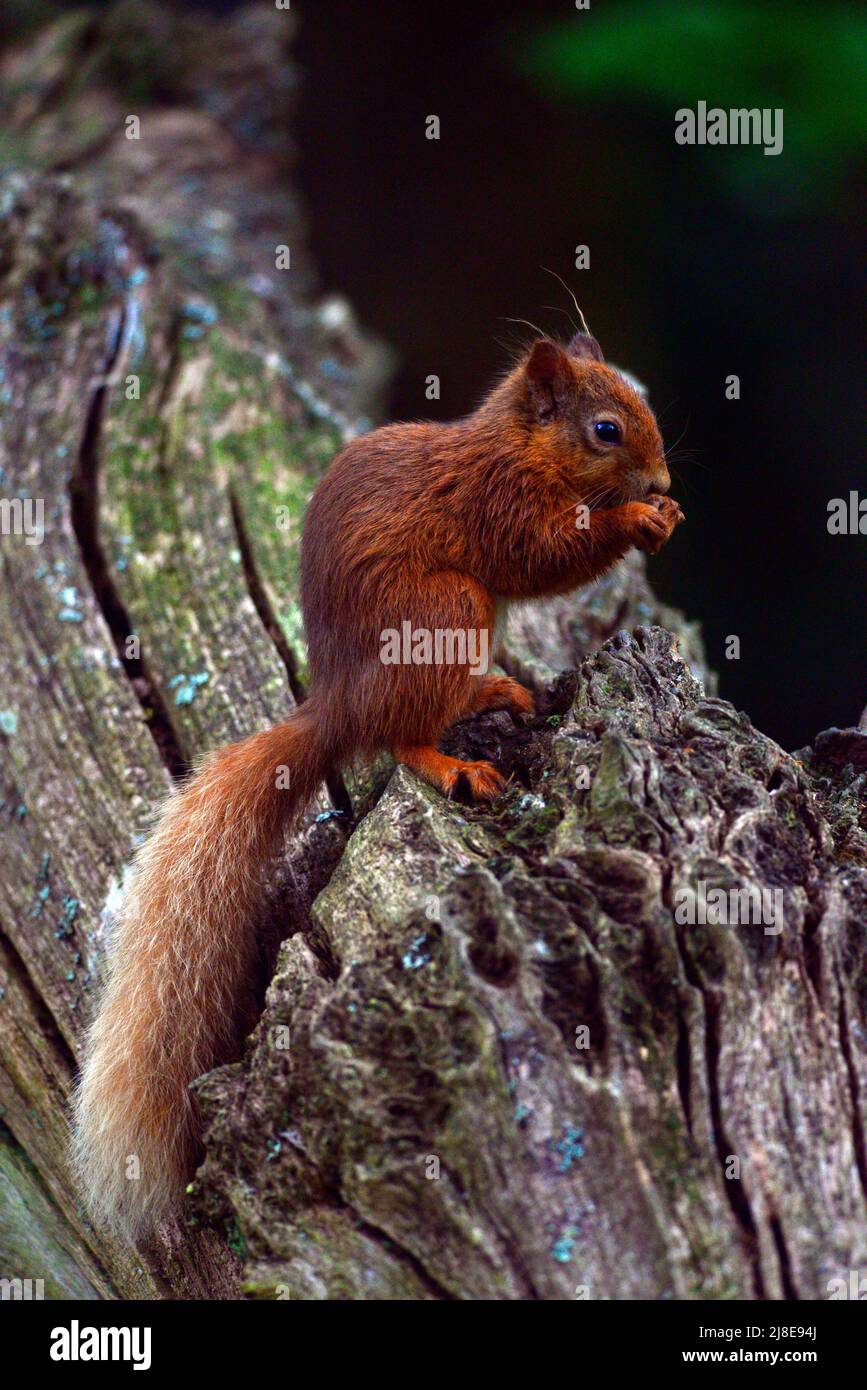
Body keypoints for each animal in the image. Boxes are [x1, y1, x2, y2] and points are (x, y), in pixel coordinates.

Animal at [72, 329, 684, 1237]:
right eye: (605, 429)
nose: (664, 484)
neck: (517, 448)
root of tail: (337, 707)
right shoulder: (497, 506)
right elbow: (542, 556)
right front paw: (636, 519)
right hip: (448, 608)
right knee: (401, 741)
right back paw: (453, 761)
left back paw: (491, 694)